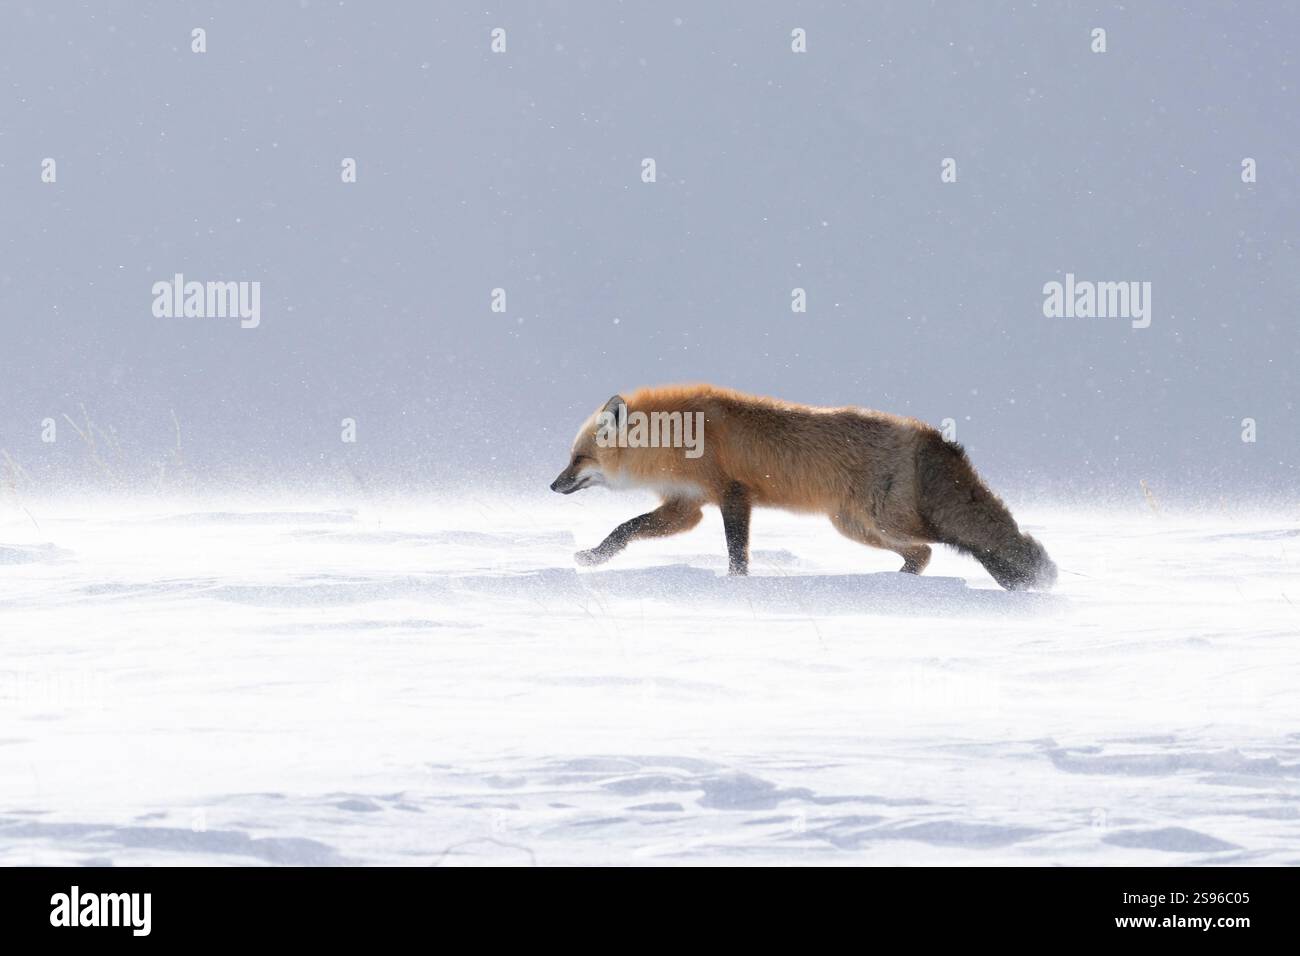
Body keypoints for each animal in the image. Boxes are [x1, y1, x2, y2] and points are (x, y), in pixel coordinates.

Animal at [550, 384, 1057, 591]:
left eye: (578, 459)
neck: (677, 439)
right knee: (923, 554)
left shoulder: (734, 495)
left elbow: (737, 552)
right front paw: (593, 558)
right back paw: (890, 587)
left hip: (889, 520)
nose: (553, 485)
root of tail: (924, 432)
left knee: (962, 540)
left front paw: (735, 586)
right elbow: (624, 529)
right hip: (857, 527)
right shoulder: (687, 507)